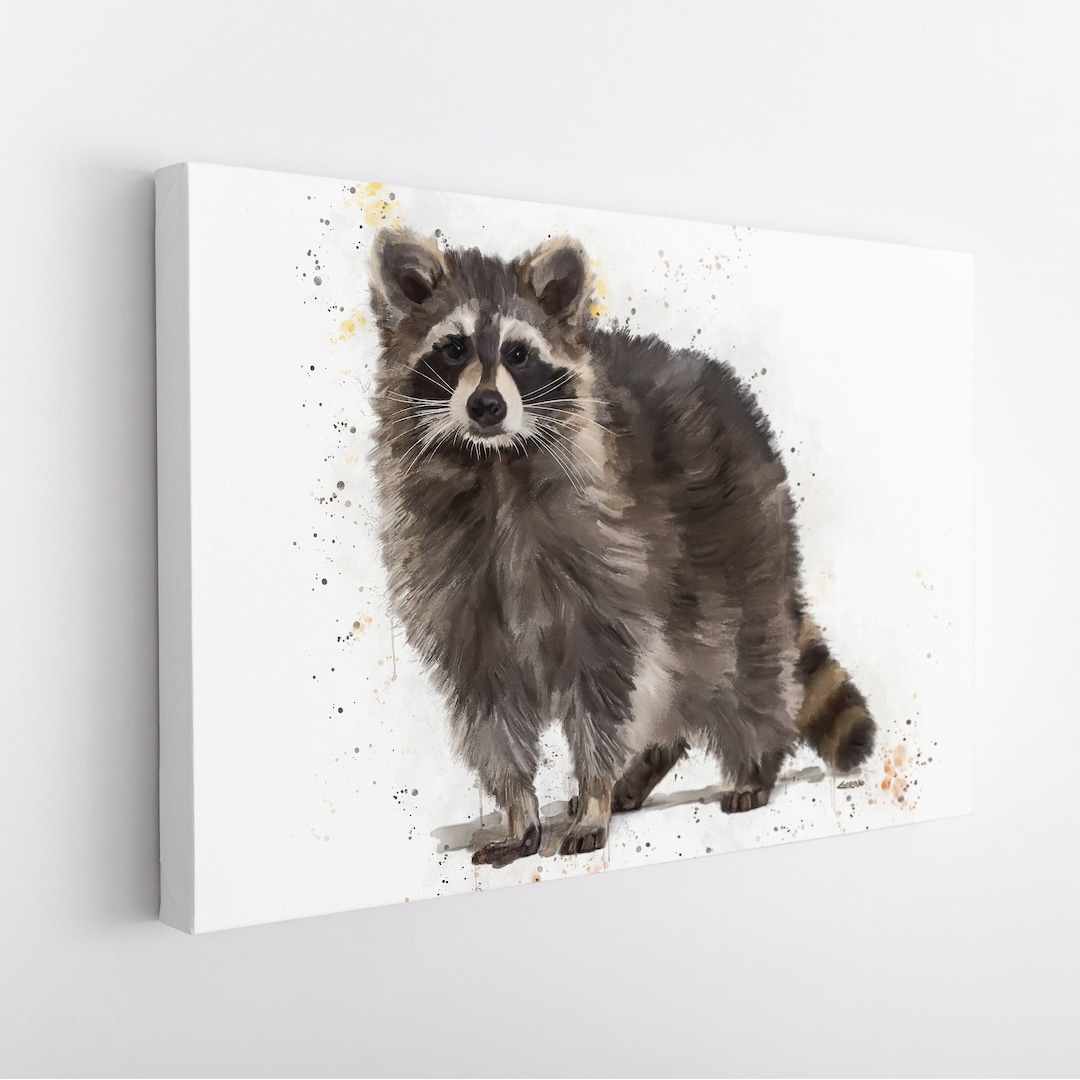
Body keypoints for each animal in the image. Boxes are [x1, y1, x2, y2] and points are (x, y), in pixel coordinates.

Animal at [368, 228, 875, 868]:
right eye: (453, 348)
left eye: (518, 354)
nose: (486, 406)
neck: (497, 465)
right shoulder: (458, 591)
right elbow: (492, 718)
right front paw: (519, 811)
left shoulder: (608, 562)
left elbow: (602, 700)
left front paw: (593, 797)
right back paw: (653, 762)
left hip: (733, 539)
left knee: (743, 656)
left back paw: (756, 763)